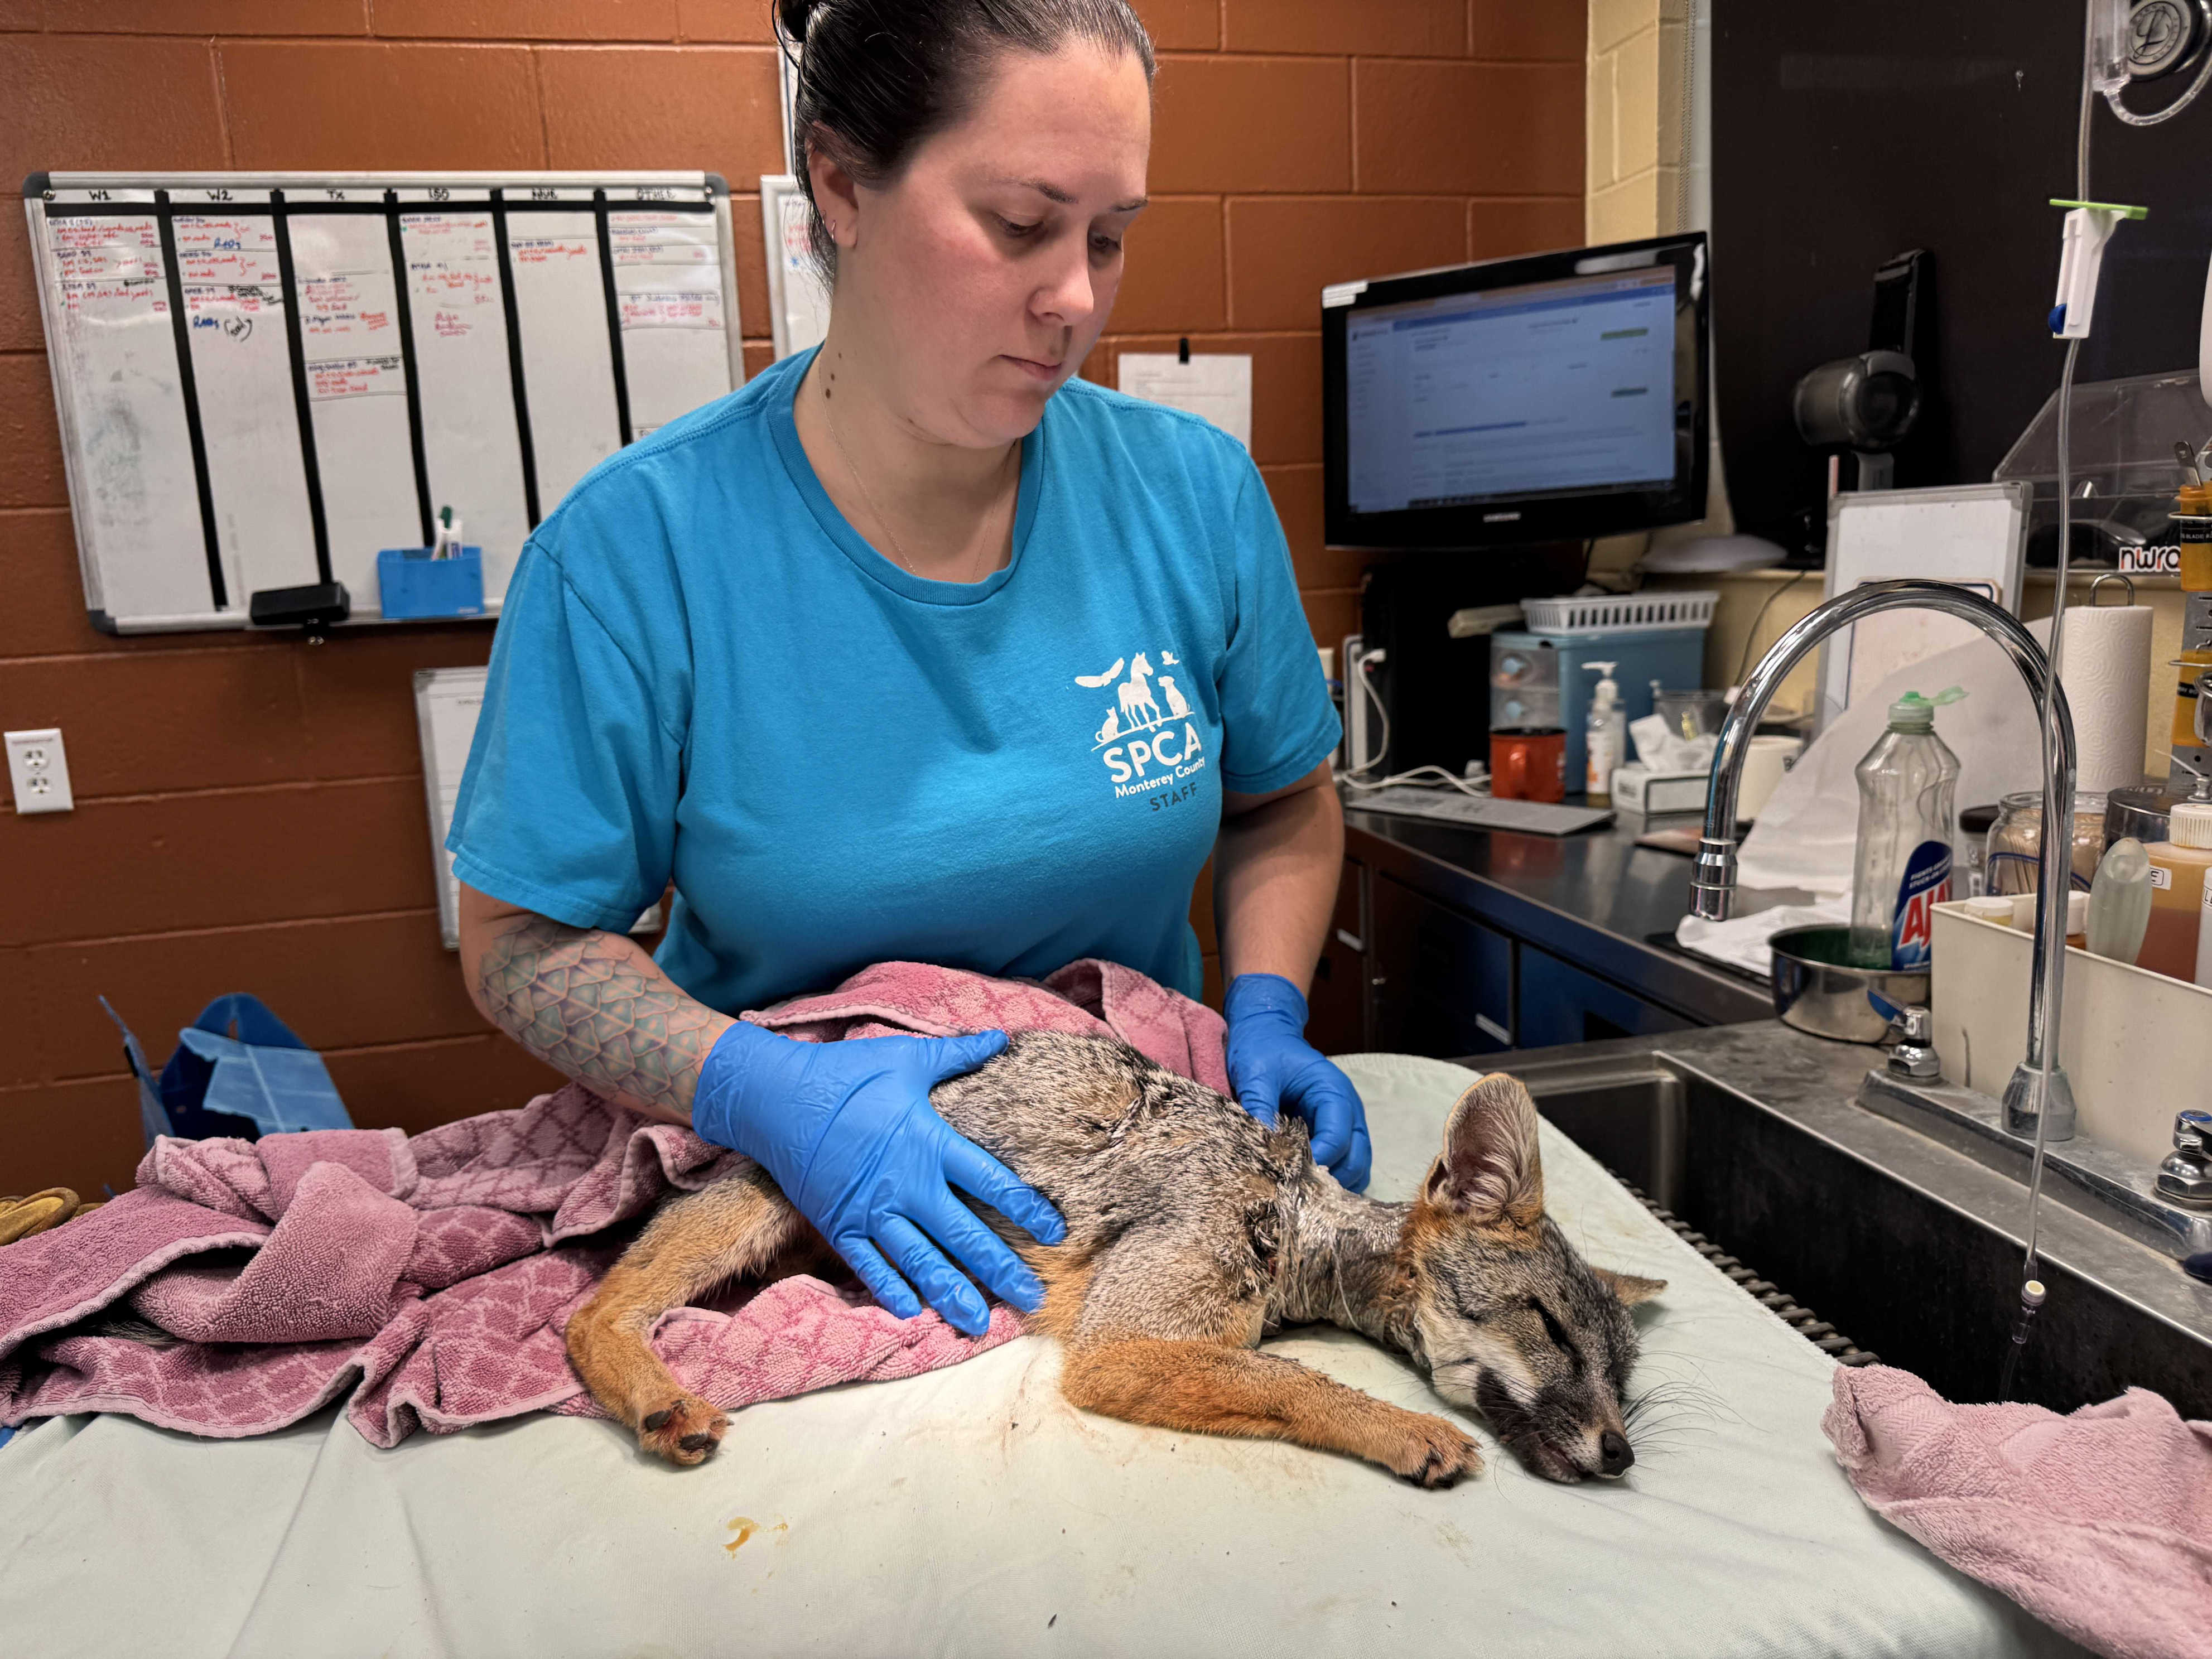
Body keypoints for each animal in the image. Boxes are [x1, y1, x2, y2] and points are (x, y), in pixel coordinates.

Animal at [565, 1029, 1664, 1486]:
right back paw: (655, 1398)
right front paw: (1403, 1430)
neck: (1293, 1212)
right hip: (757, 1202)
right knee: (586, 1313)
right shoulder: (1117, 1349)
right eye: (1550, 1328)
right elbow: (1302, 1382)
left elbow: (1285, 1371)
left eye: (1622, 1376)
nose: (1622, 1453)